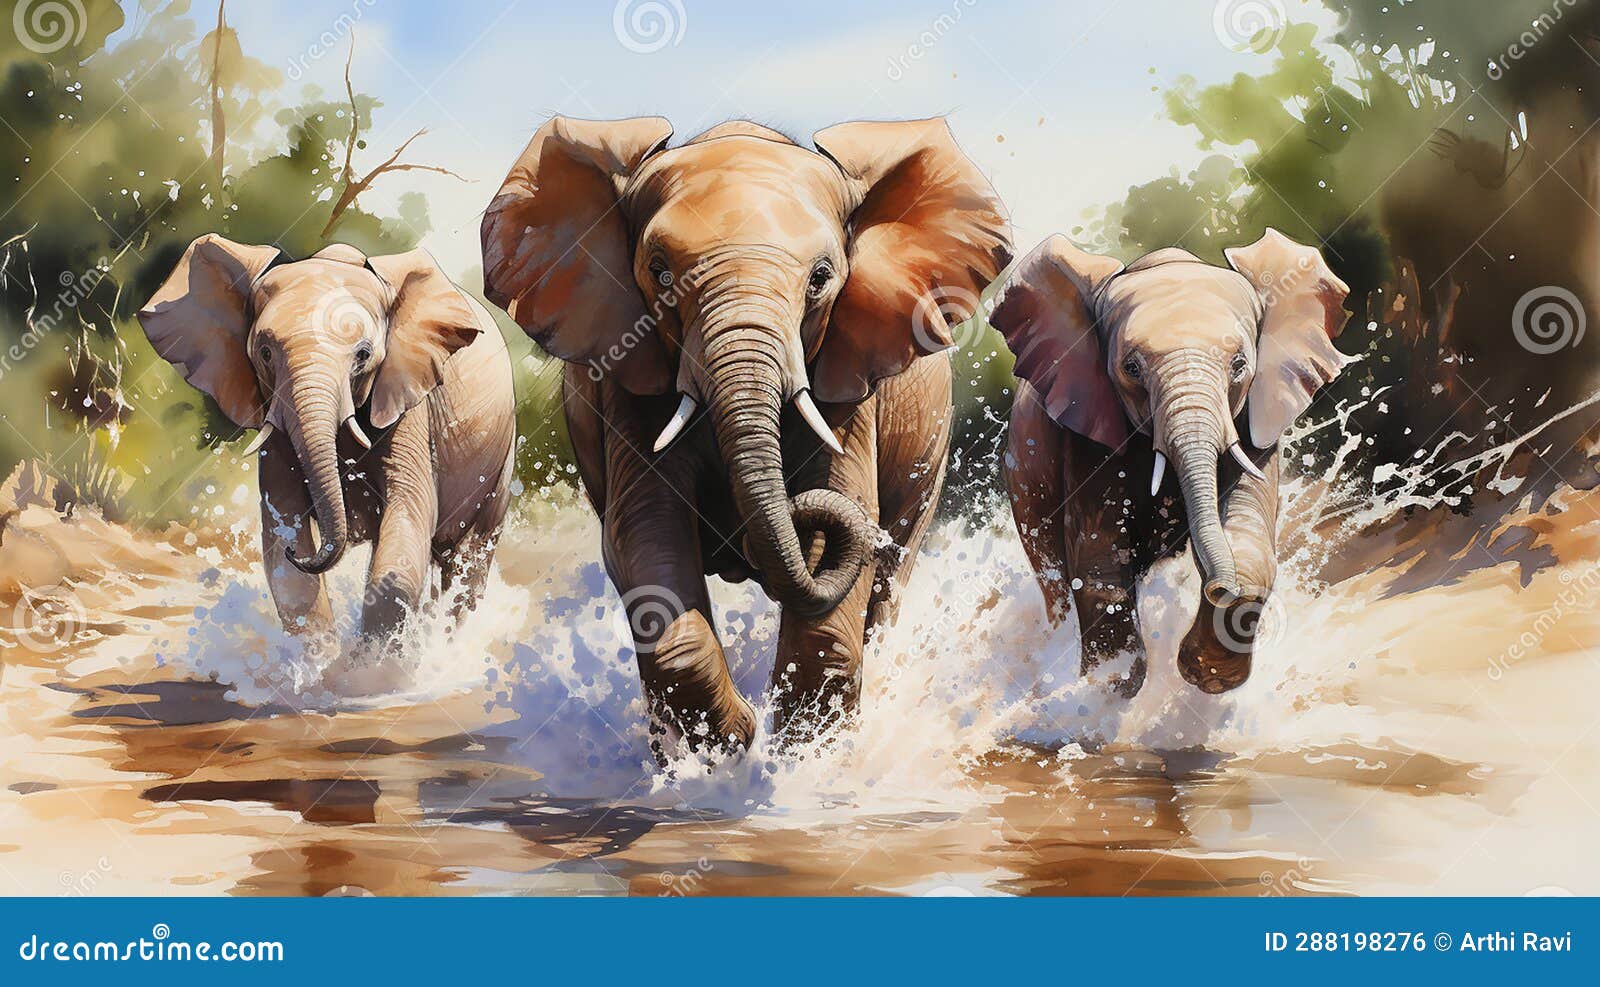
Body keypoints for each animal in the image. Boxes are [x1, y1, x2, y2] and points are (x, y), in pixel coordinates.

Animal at [138, 236, 517, 660]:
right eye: (265, 353)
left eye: (363, 355)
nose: (306, 555)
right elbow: (285, 541)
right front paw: (324, 667)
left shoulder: (409, 403)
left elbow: (406, 521)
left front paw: (370, 670)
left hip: (503, 456)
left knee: (469, 561)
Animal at [481, 116, 1010, 753]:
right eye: (659, 273)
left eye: (821, 279)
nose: (794, 516)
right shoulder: (628, 369)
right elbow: (644, 530)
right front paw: (731, 748)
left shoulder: (849, 371)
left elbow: (852, 509)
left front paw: (801, 761)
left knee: (889, 572)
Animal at [990, 230, 1350, 696]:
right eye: (1131, 368)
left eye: (1239, 365)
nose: (1218, 586)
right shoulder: (1086, 428)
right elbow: (1100, 564)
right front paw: (1107, 690)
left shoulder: (1255, 419)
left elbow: (1247, 538)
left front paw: (1207, 675)